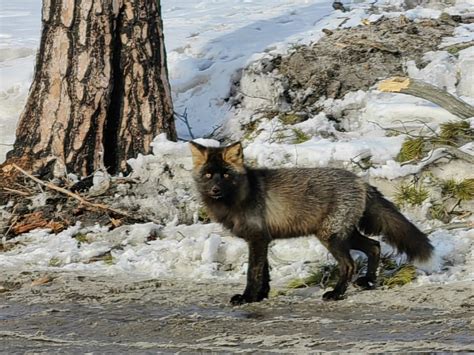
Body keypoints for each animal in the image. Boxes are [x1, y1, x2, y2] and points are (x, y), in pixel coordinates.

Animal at [189, 142, 434, 306]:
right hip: (345, 235)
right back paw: (368, 282)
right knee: (374, 246)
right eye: (209, 175)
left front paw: (247, 297)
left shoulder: (257, 239)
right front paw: (261, 297)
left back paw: (336, 294)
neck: (240, 196)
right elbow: (265, 274)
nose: (215, 190)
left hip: (331, 237)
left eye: (225, 175)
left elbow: (253, 273)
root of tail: (359, 180)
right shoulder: (263, 240)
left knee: (350, 264)